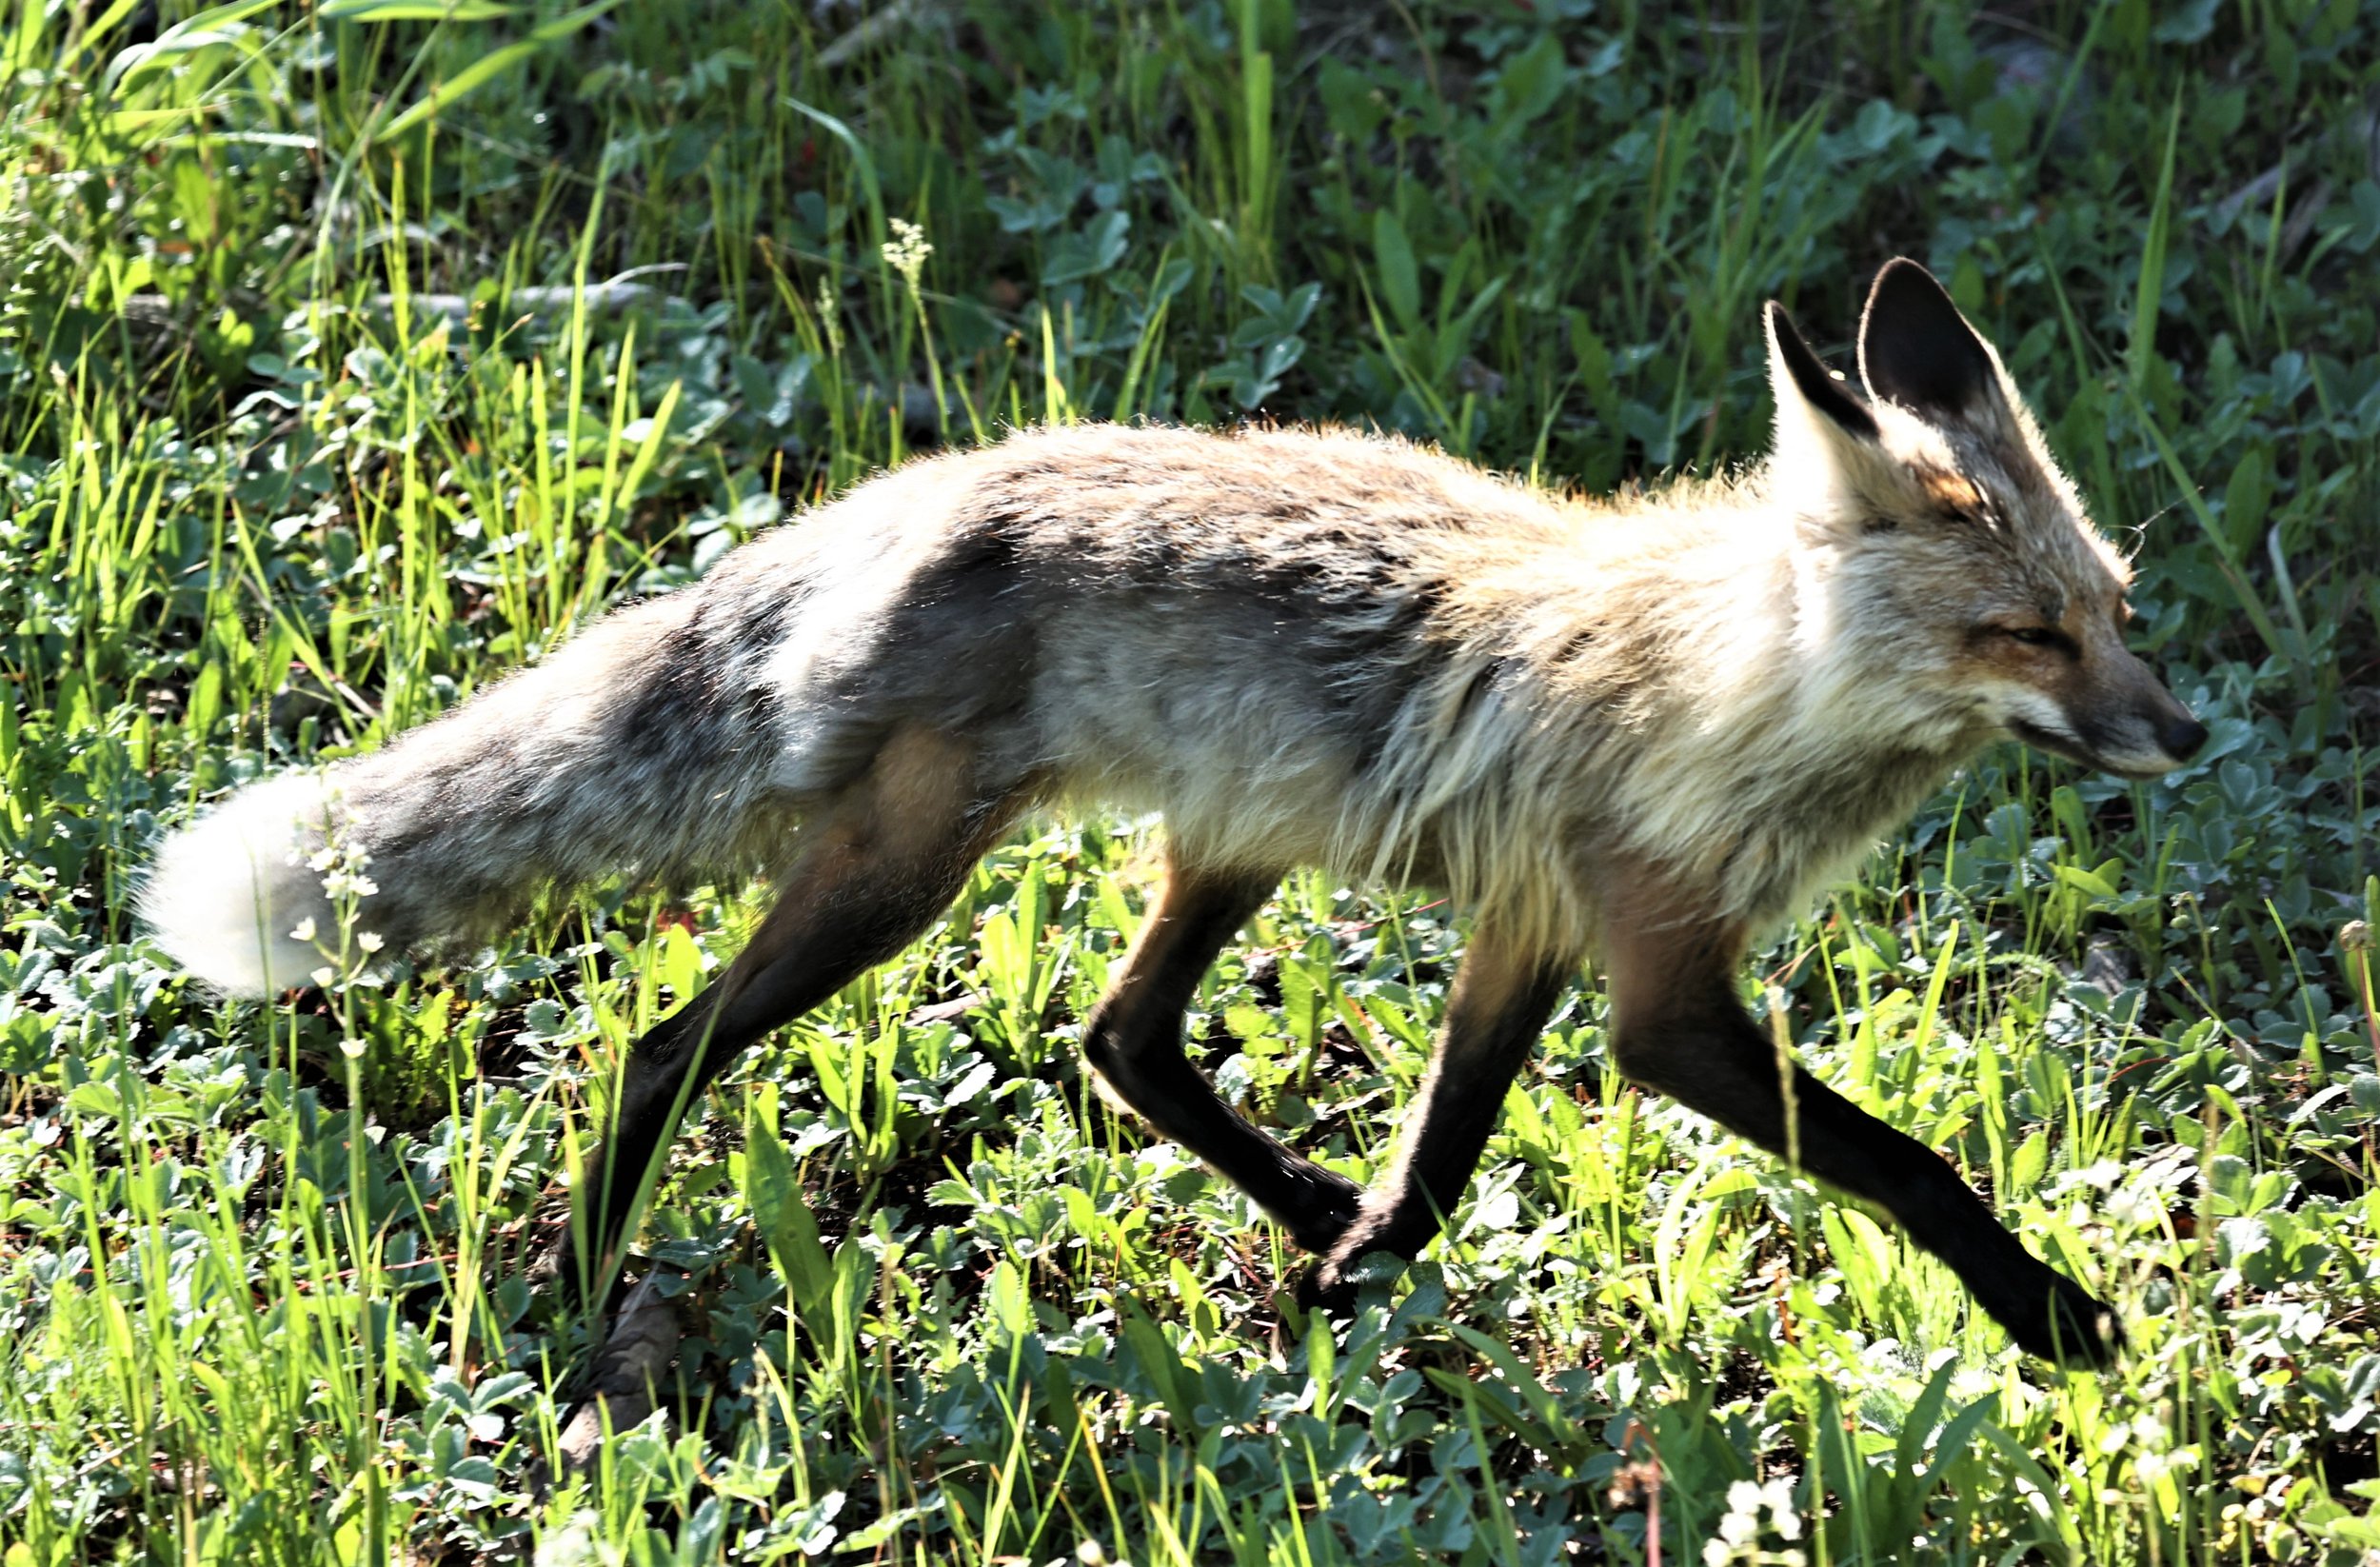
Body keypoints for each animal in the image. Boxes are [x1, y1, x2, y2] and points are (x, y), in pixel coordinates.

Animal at [143, 259, 2206, 1365]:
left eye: (2117, 608)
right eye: (2026, 634)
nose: (2183, 734)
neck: (1739, 695)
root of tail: (908, 491)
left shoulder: (1526, 930)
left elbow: (1443, 1149)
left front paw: (1362, 1271)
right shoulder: (1658, 988)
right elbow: (1914, 1166)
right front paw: (2052, 1319)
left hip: (1230, 846)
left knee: (1117, 1036)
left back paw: (1298, 1202)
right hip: (899, 880)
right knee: (664, 1045)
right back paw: (579, 1283)